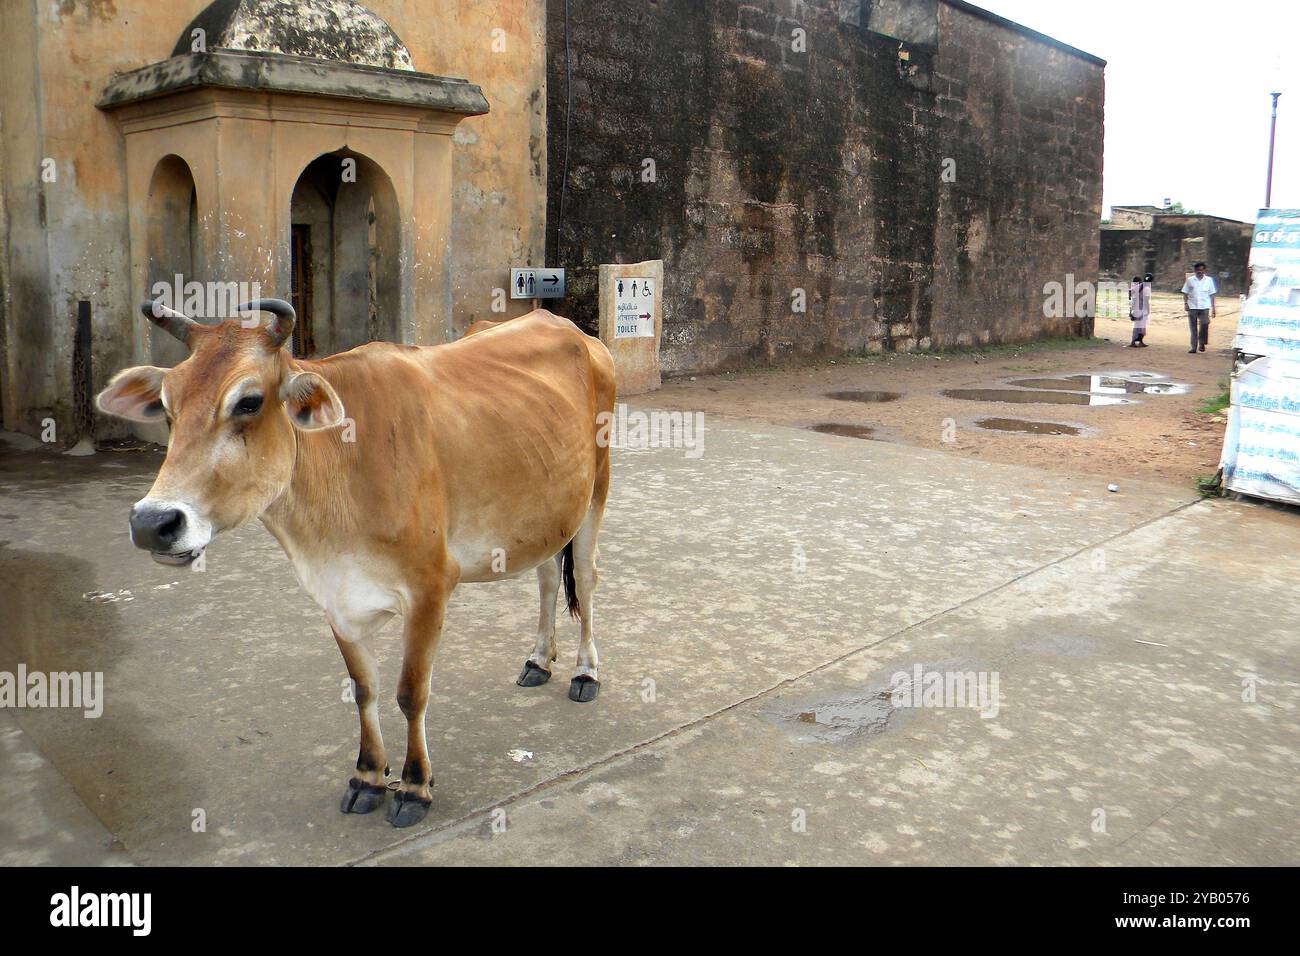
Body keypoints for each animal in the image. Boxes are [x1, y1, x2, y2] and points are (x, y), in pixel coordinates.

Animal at [96, 299, 616, 828]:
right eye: (167, 407)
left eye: (248, 402)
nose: (152, 522)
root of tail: (567, 326)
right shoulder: (335, 597)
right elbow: (364, 688)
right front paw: (368, 776)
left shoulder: (430, 588)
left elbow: (411, 692)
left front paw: (414, 786)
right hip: (548, 511)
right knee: (548, 576)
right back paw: (538, 659)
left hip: (596, 487)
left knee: (586, 579)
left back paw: (585, 671)